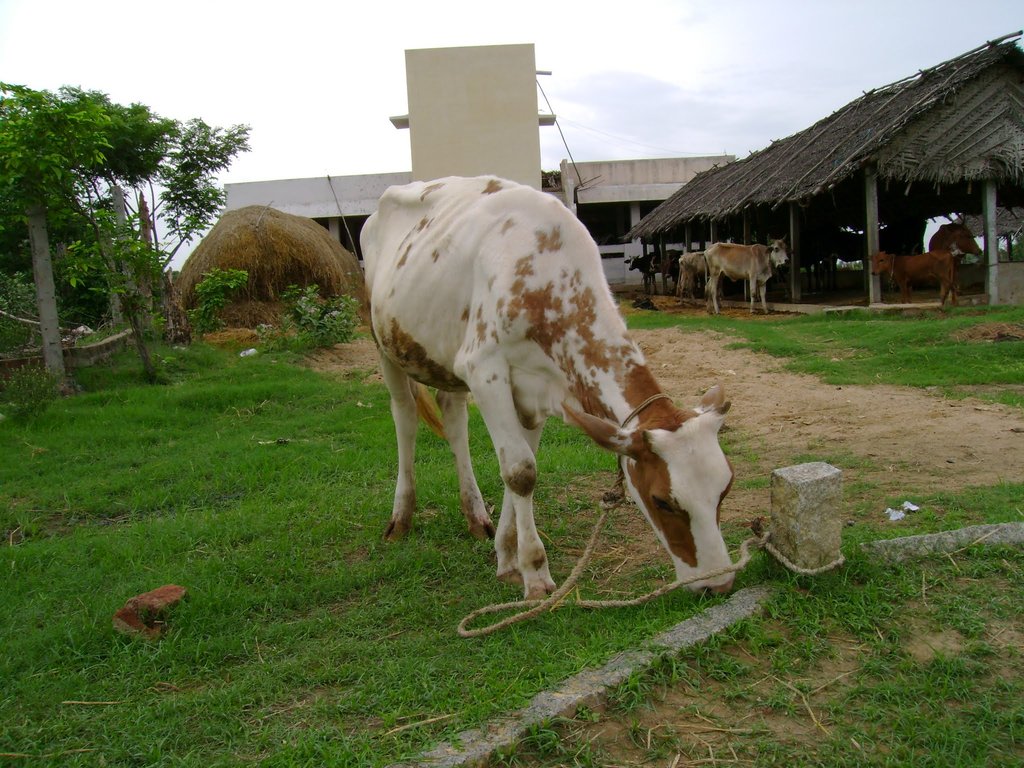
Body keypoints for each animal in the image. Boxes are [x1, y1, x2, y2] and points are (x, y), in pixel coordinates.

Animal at [361, 176, 737, 600]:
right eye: (662, 501)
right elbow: (520, 471)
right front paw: (536, 573)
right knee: (405, 415)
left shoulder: (535, 391)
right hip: (383, 340)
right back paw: (401, 517)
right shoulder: (484, 368)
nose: (719, 584)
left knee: (454, 417)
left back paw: (476, 515)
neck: (547, 279)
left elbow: (522, 469)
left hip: (443, 355)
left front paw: (508, 558)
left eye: (725, 488)